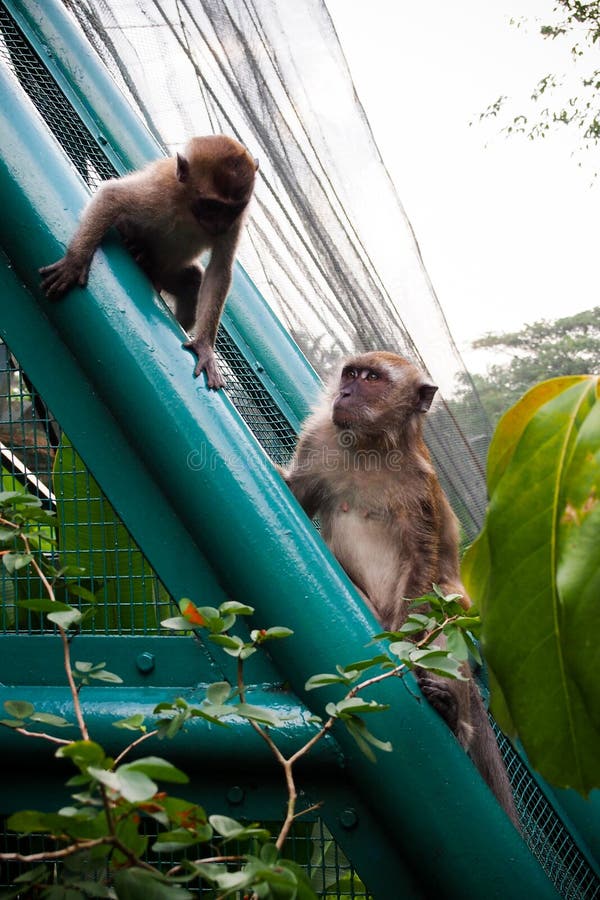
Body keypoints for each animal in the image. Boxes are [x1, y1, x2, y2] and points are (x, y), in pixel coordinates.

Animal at [39, 134, 258, 389]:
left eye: (234, 209)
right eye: (212, 205)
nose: (220, 225)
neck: (189, 210)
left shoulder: (235, 222)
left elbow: (219, 270)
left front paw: (204, 346)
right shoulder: (160, 192)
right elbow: (112, 196)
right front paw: (75, 261)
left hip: (168, 273)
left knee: (193, 281)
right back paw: (138, 251)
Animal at [280, 350, 519, 826]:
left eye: (372, 378)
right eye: (351, 373)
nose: (345, 392)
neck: (370, 447)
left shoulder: (419, 484)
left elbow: (424, 562)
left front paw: (404, 650)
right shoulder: (319, 441)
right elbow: (297, 494)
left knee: (443, 621)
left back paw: (454, 717)